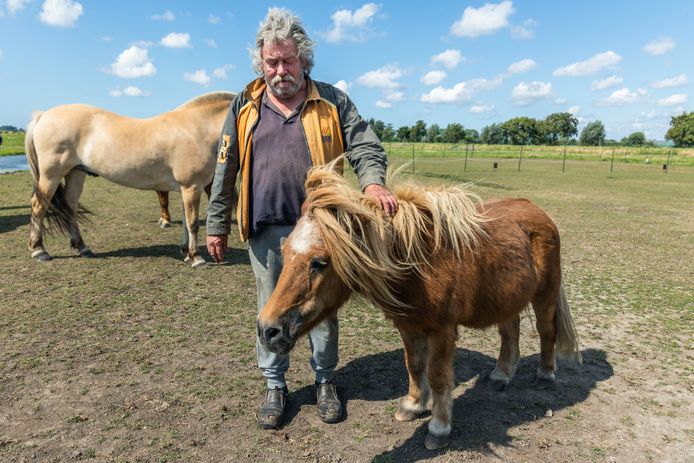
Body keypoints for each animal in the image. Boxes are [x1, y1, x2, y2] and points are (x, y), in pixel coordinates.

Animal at [24, 91, 235, 268]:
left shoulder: (187, 189)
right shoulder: (192, 187)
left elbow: (186, 221)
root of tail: (43, 116)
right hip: (51, 176)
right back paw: (39, 250)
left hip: (76, 173)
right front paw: (196, 257)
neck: (195, 128)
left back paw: (81, 246)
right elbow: (192, 223)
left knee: (69, 206)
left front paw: (187, 252)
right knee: (38, 206)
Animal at [256, 163, 581, 450]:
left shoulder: (442, 330)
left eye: (320, 262)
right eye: (284, 250)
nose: (267, 330)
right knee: (509, 333)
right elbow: (414, 366)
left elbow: (437, 377)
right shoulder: (408, 326)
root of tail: (538, 212)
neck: (418, 264)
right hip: (507, 298)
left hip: (545, 296)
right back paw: (501, 376)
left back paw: (545, 374)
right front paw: (412, 406)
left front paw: (439, 428)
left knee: (546, 332)